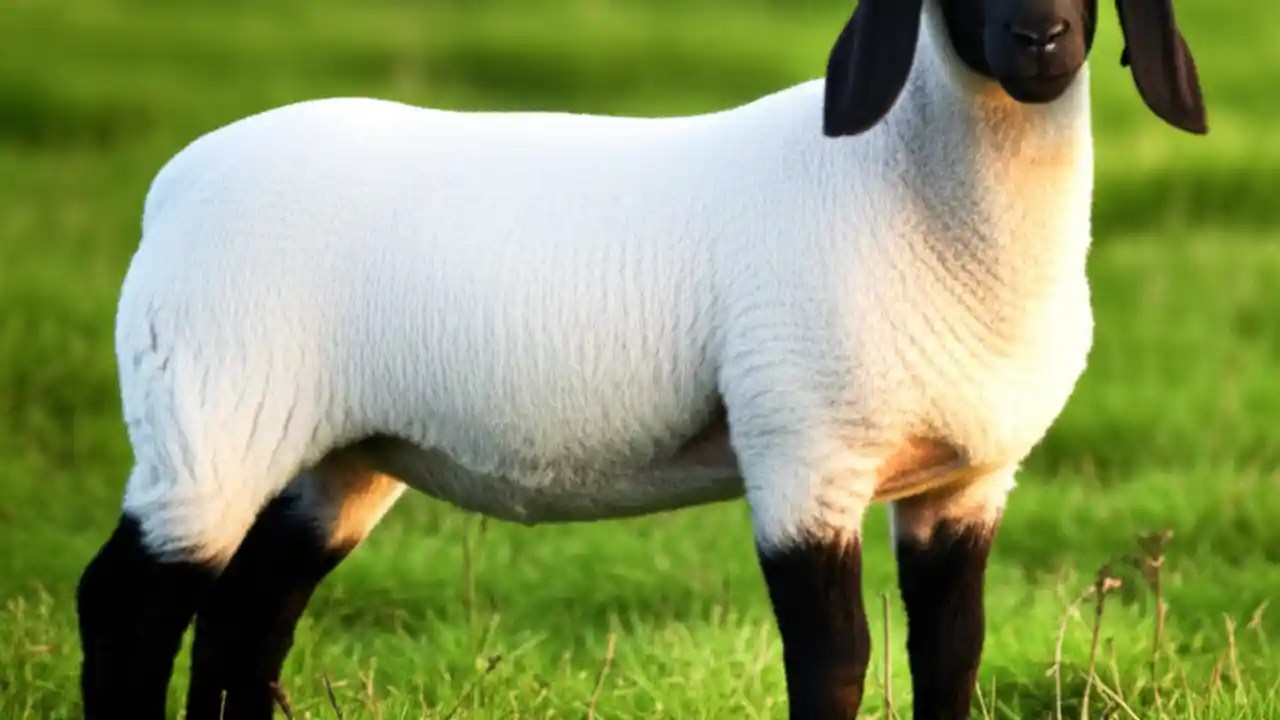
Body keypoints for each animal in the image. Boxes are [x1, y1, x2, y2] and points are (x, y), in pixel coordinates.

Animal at [76, 0, 1206, 718]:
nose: (1040, 37)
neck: (911, 198)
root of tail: (172, 185)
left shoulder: (964, 485)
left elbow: (949, 658)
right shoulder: (802, 455)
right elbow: (833, 665)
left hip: (333, 454)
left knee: (244, 621)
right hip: (208, 420)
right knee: (127, 605)